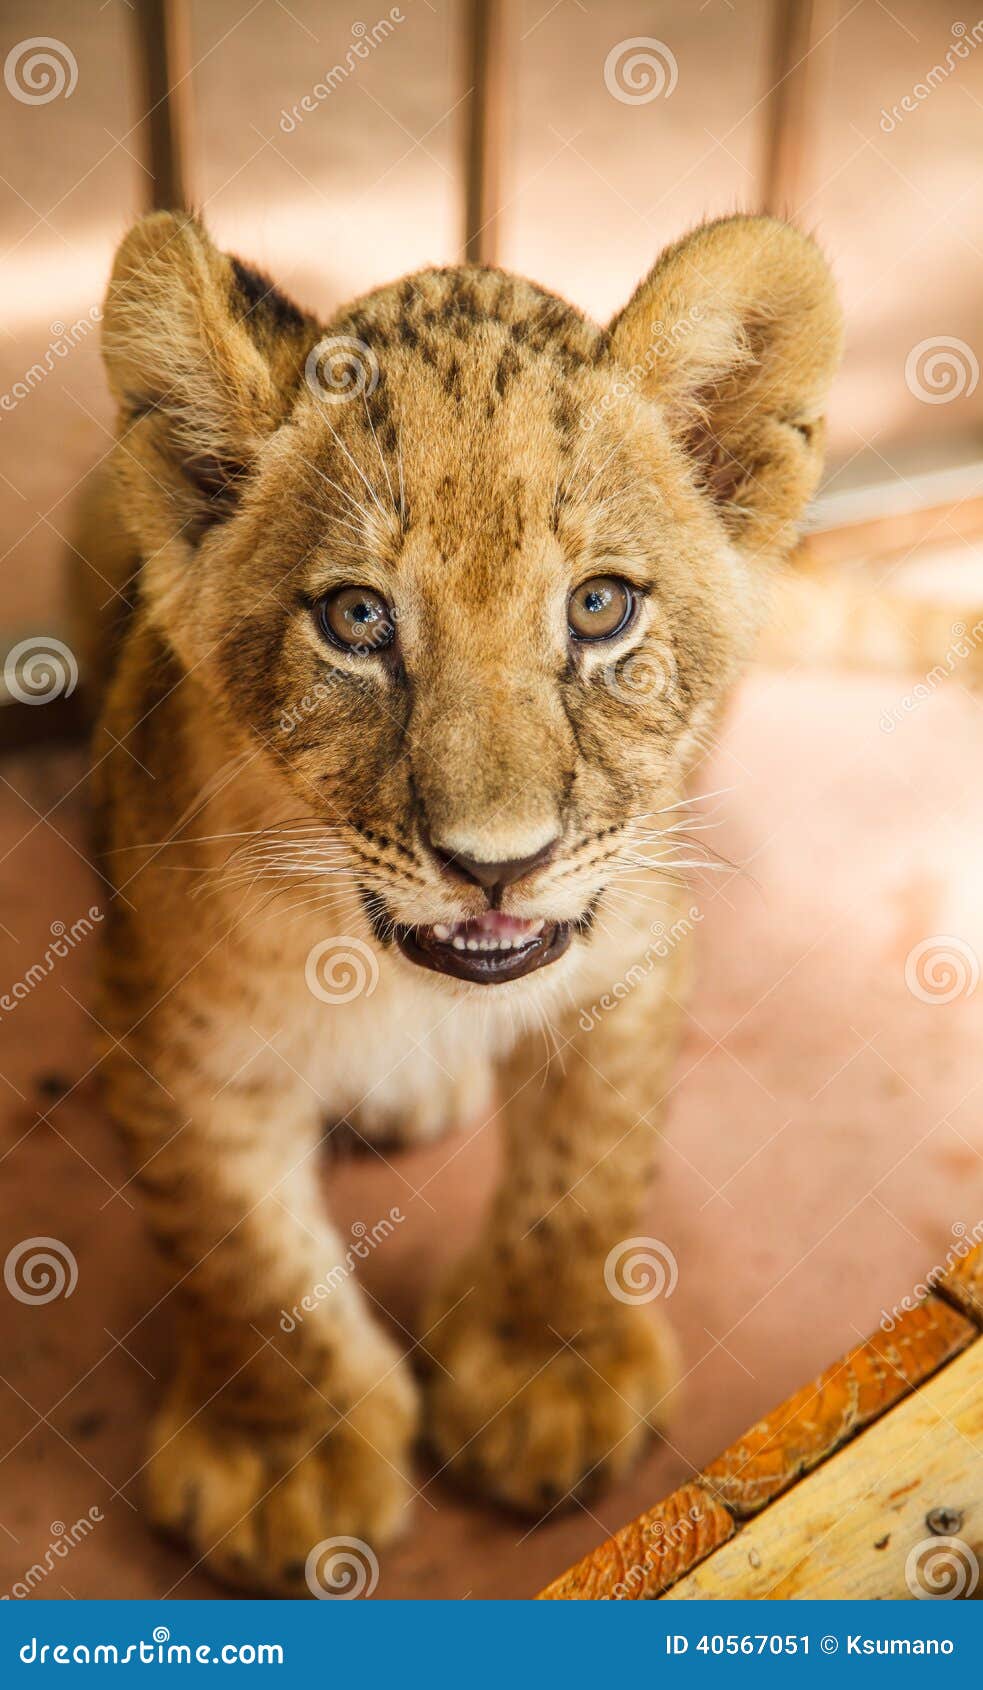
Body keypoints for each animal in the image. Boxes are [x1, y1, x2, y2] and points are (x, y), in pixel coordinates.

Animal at [74, 210, 841, 1594]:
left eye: (597, 607)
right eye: (355, 619)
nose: (497, 863)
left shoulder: (628, 954)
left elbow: (586, 1175)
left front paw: (547, 1376)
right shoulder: (171, 1038)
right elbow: (239, 1250)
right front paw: (287, 1463)